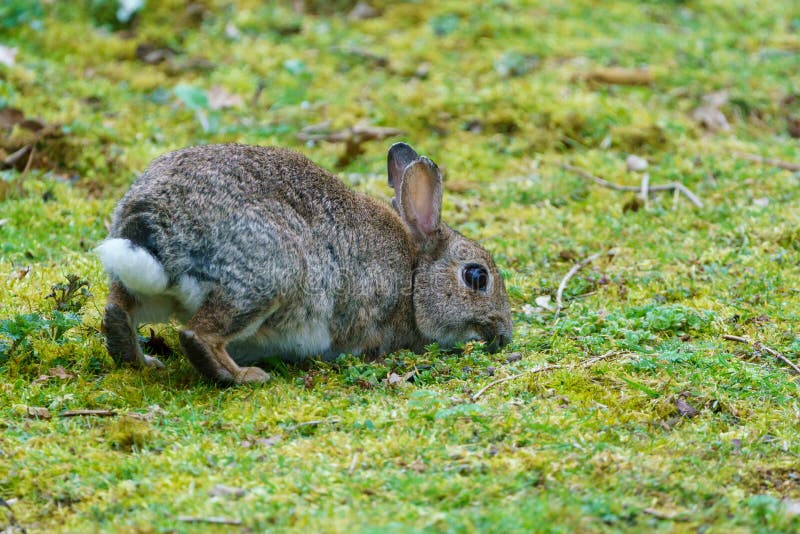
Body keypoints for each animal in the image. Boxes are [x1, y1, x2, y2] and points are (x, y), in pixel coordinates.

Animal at [96, 142, 512, 384]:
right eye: (477, 276)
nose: (504, 335)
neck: (413, 277)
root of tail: (154, 226)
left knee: (118, 310)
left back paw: (142, 362)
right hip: (267, 279)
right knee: (199, 334)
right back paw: (246, 376)